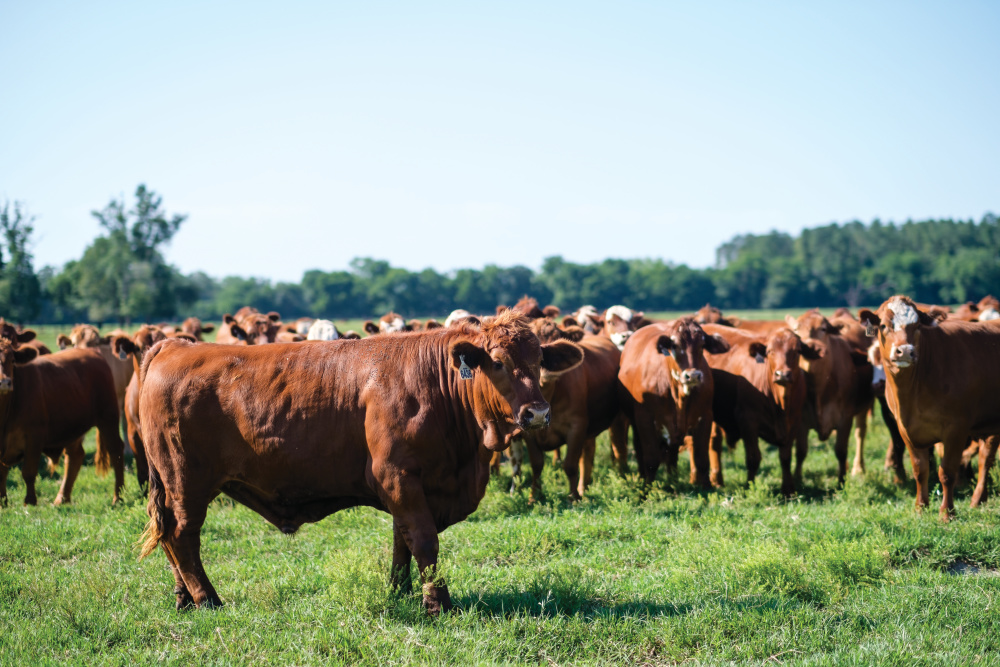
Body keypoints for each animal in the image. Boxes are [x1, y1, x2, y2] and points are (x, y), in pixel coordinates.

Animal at [0, 341, 125, 505]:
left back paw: (118, 497)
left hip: (108, 417)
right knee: (74, 456)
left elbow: (28, 471)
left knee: (116, 451)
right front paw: (2, 501)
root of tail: (91, 352)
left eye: (12, 360)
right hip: (73, 427)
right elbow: (2, 472)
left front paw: (30, 501)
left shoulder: (35, 436)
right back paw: (62, 497)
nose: (4, 382)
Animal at [136, 311, 583, 613]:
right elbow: (424, 540)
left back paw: (184, 598)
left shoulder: (409, 487)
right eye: (498, 362)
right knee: (182, 537)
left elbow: (402, 540)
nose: (537, 413)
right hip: (186, 483)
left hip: (175, 487)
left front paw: (400, 591)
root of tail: (173, 345)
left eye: (539, 361)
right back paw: (208, 599)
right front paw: (438, 602)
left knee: (171, 539)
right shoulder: (399, 477)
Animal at [618, 318, 730, 488]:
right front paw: (647, 490)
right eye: (675, 346)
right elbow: (651, 460)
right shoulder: (644, 420)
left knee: (672, 455)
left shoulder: (705, 417)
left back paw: (673, 482)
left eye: (702, 346)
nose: (693, 375)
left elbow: (702, 460)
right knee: (640, 451)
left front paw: (706, 489)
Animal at [702, 325, 817, 495]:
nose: (782, 374)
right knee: (713, 443)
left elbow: (785, 457)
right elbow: (753, 458)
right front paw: (750, 487)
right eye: (770, 351)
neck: (780, 404)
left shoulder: (794, 423)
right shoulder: (748, 421)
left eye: (797, 351)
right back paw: (715, 480)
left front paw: (788, 489)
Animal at [860, 296, 1000, 519]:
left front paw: (947, 513)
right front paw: (920, 507)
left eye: (917, 326)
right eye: (883, 326)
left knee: (985, 460)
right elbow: (920, 470)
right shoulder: (905, 429)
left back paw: (977, 499)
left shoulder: (956, 429)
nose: (905, 351)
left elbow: (947, 472)